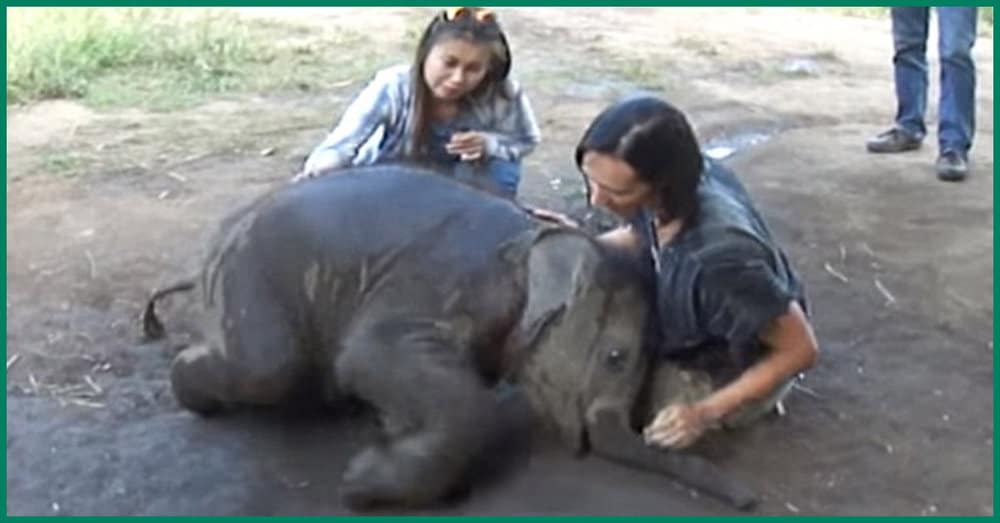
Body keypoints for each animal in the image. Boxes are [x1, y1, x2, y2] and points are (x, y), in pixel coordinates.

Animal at [142, 165, 757, 510]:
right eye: (614, 357)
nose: (750, 503)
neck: (536, 239)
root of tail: (212, 247)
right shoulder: (446, 282)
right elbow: (370, 358)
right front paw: (360, 487)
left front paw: (387, 445)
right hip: (250, 274)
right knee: (269, 366)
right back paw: (190, 389)